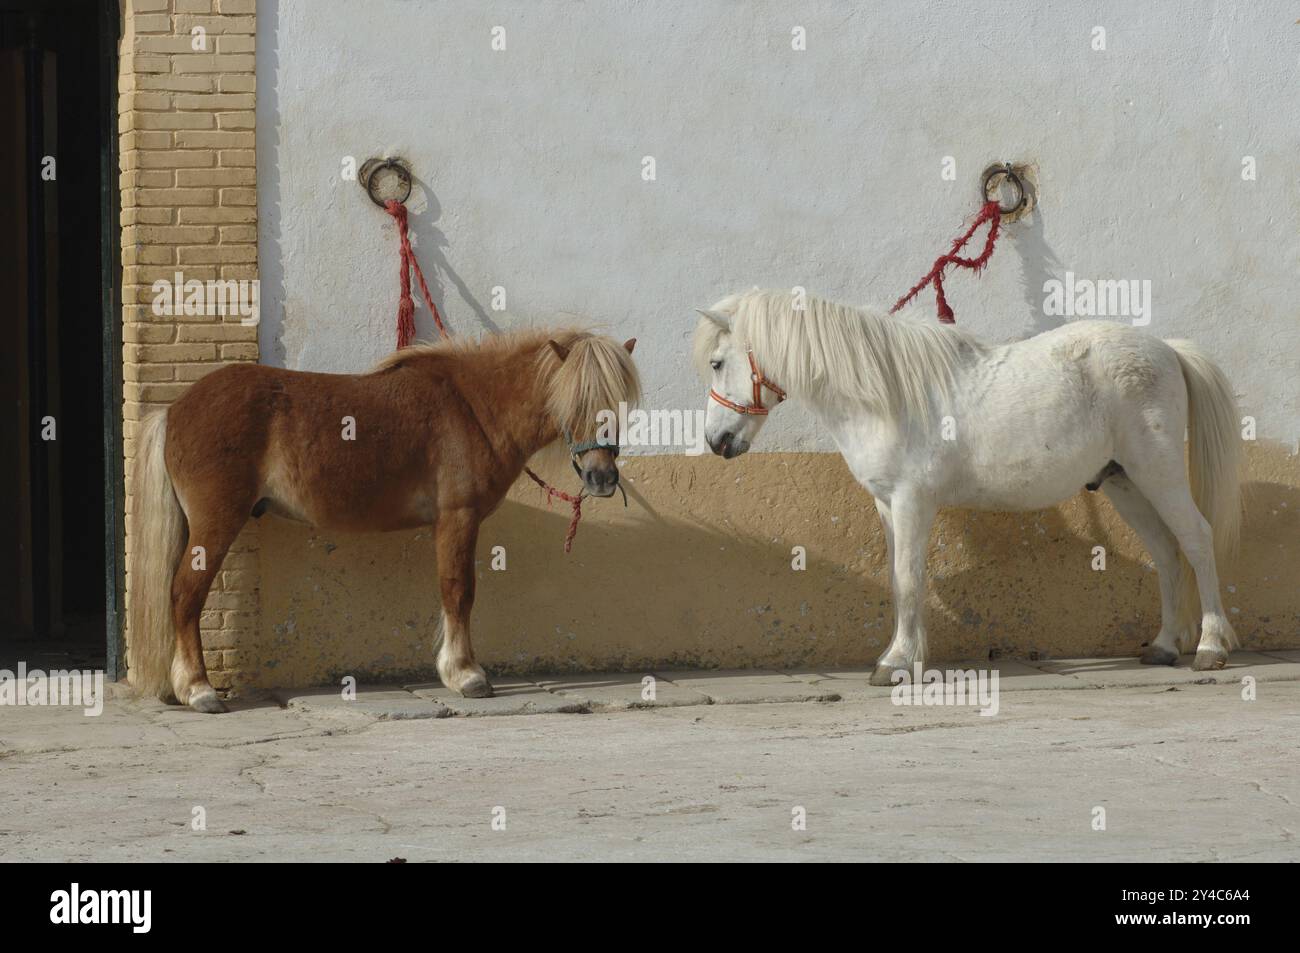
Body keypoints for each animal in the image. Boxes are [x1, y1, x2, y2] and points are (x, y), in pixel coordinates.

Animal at [128, 329, 640, 712]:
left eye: (619, 404)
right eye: (575, 402)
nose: (601, 478)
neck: (472, 406)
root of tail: (175, 410)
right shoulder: (458, 518)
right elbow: (458, 590)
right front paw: (466, 675)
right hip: (214, 525)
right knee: (185, 595)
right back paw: (199, 690)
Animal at [694, 289, 1243, 685]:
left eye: (717, 362)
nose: (716, 441)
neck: (884, 396)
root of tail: (1169, 350)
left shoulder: (912, 502)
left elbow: (909, 579)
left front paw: (896, 664)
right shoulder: (887, 505)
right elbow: (899, 580)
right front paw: (904, 656)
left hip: (1158, 470)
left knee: (1196, 540)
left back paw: (1210, 648)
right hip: (1124, 483)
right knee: (1167, 552)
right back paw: (1164, 646)